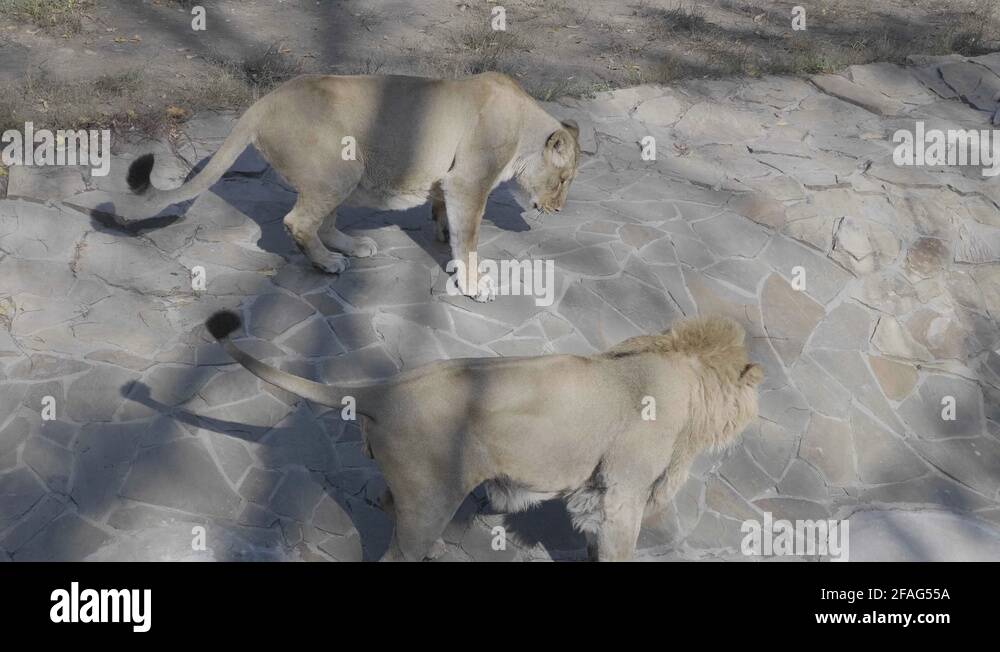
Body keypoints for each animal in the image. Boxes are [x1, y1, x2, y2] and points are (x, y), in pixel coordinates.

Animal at [121, 73, 581, 301]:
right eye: (562, 180)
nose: (559, 210)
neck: (525, 129)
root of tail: (263, 103)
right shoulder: (469, 181)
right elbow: (468, 240)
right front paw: (473, 284)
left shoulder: (449, 181)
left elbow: (444, 214)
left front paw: (441, 231)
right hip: (342, 167)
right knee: (299, 222)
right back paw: (328, 263)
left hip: (345, 174)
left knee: (323, 222)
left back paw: (354, 247)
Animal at [205, 311, 762, 561]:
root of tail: (381, 390)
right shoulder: (622, 493)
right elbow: (617, 546)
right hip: (433, 498)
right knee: (397, 551)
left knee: (387, 506)